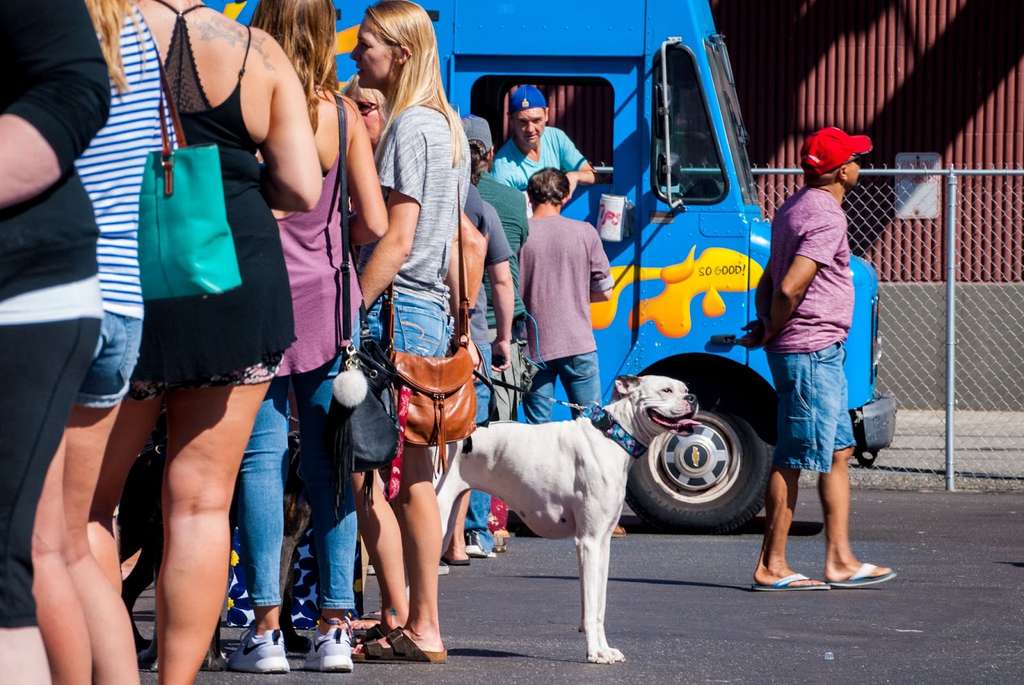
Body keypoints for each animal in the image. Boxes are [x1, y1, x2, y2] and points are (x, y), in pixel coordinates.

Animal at [436, 374, 700, 663]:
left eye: (685, 389)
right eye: (666, 390)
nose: (693, 398)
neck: (612, 436)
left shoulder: (602, 544)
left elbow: (598, 605)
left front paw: (604, 648)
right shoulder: (589, 542)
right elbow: (591, 606)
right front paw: (595, 652)